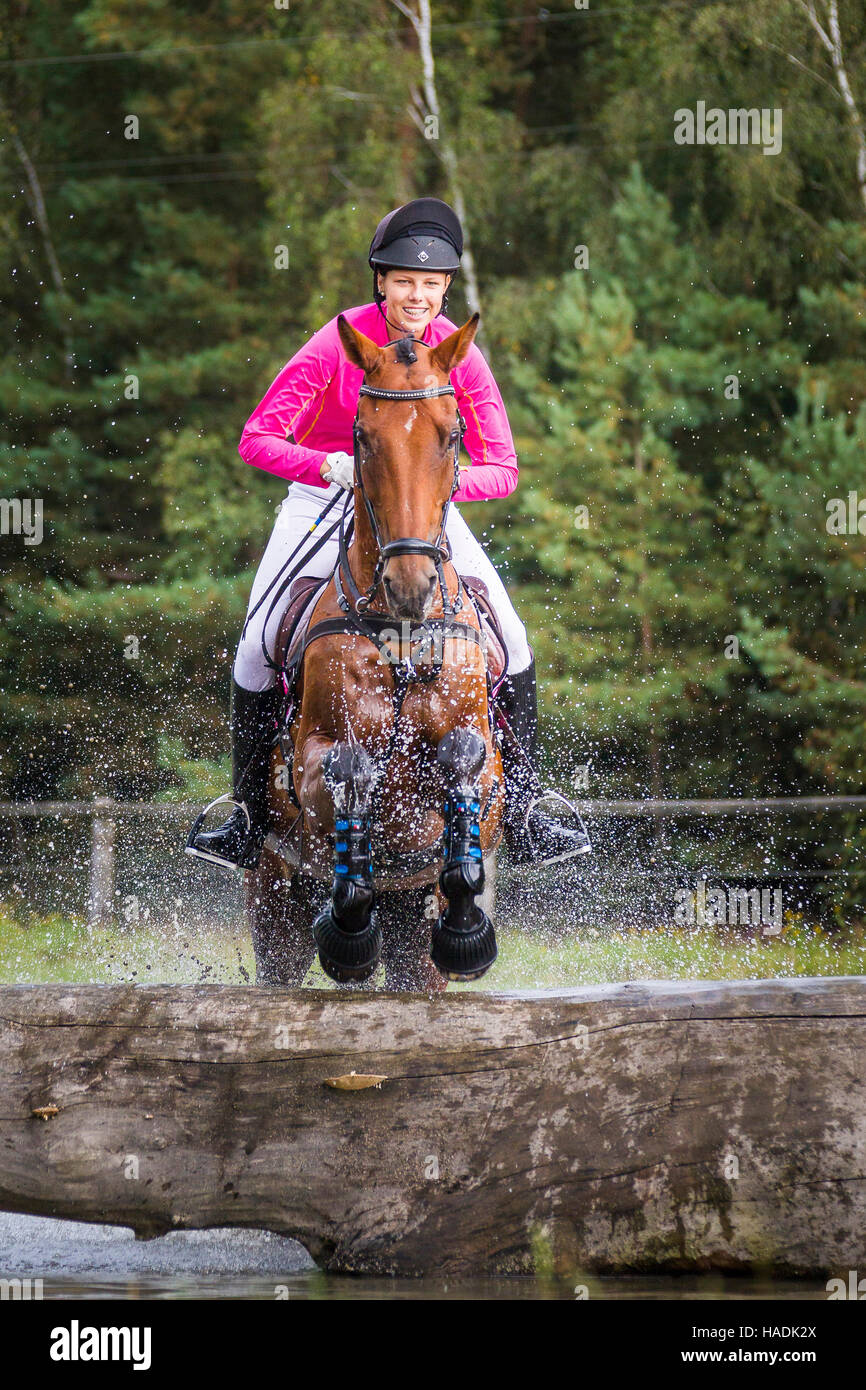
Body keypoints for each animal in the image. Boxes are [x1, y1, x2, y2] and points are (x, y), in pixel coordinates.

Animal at [246, 313, 507, 991]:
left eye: (452, 436)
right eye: (361, 438)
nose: (411, 586)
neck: (402, 638)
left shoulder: (486, 770)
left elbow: (463, 763)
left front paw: (466, 930)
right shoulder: (311, 757)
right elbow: (350, 768)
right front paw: (347, 930)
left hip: (409, 929)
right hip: (274, 899)